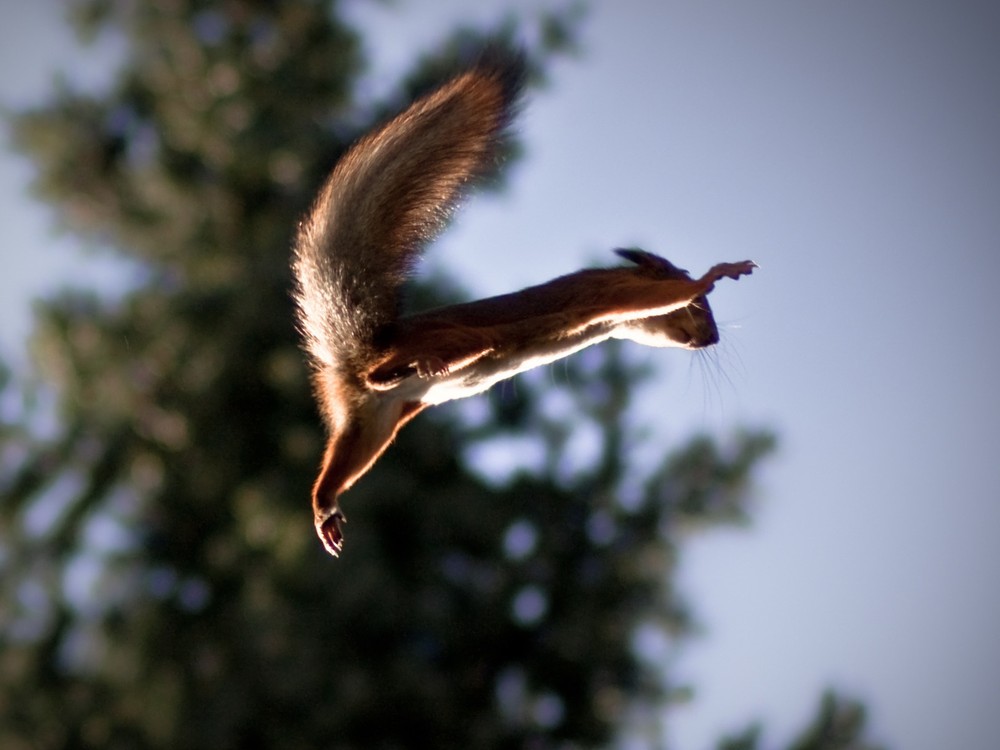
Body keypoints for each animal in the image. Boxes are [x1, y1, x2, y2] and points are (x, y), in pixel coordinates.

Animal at [292, 50, 756, 557]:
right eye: (701, 309)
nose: (712, 338)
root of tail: (360, 354)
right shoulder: (613, 293)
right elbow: (658, 295)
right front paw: (718, 274)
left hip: (375, 424)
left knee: (341, 459)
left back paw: (324, 507)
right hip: (457, 342)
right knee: (407, 364)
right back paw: (407, 369)